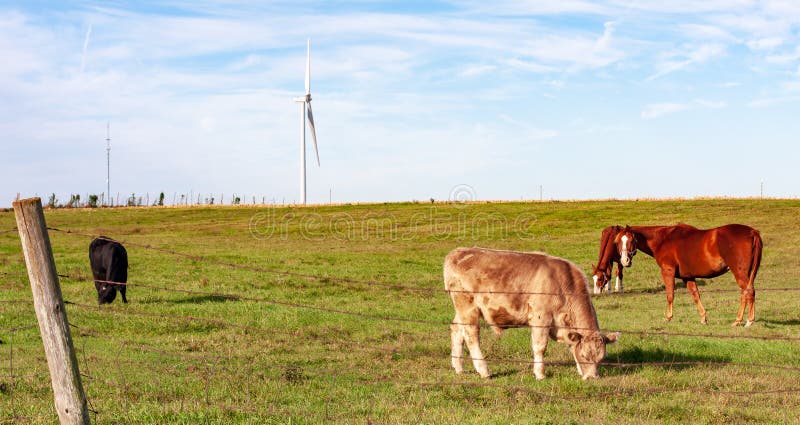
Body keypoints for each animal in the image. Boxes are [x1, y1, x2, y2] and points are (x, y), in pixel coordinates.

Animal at [621, 224, 762, 326]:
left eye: (631, 240)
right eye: (620, 241)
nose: (624, 261)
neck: (664, 240)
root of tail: (752, 232)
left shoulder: (668, 271)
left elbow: (670, 295)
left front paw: (668, 317)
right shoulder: (687, 276)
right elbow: (695, 295)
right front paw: (703, 318)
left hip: (739, 273)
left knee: (749, 292)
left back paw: (747, 321)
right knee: (746, 293)